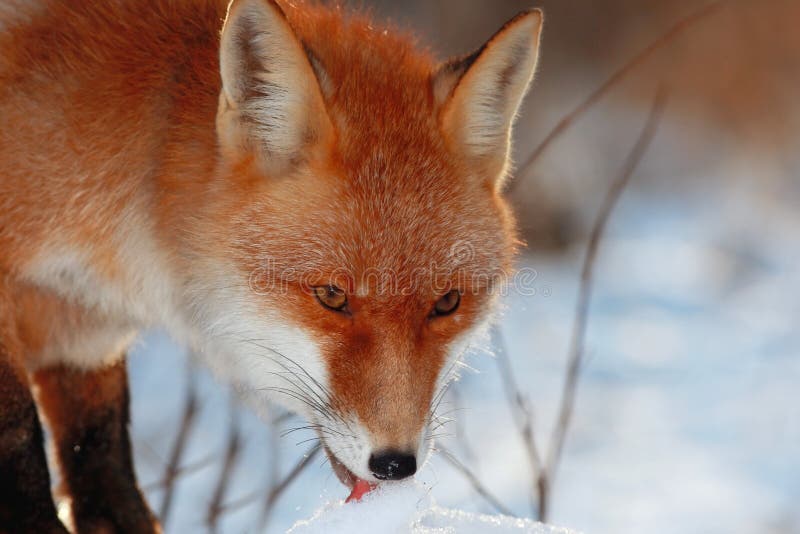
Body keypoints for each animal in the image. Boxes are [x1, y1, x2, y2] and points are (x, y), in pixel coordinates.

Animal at [0, 0, 542, 532]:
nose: (394, 464)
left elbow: (101, 469)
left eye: (447, 303)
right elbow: (18, 437)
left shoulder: (83, 336)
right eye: (331, 296)